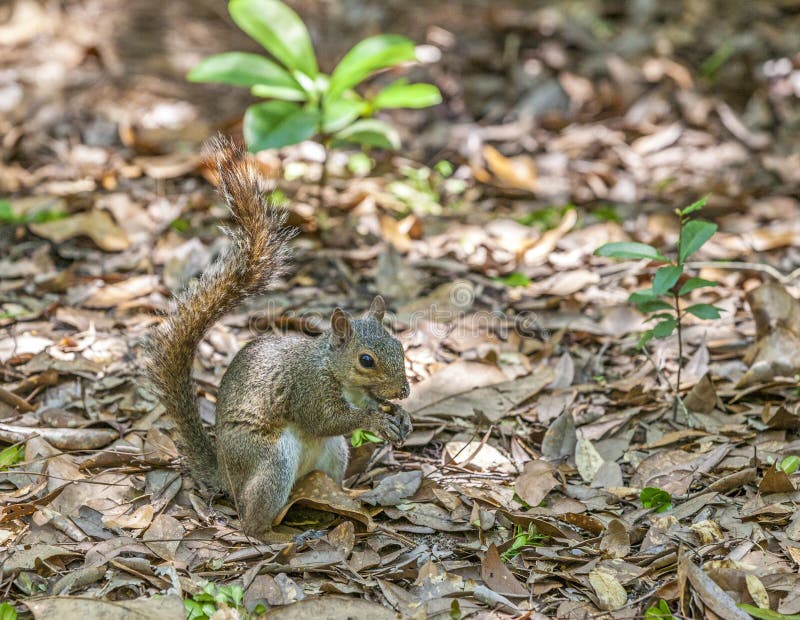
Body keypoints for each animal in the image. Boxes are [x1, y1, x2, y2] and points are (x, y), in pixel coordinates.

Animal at [146, 137, 412, 540]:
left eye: (399, 346)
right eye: (366, 360)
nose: (404, 391)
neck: (330, 368)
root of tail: (227, 477)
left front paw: (400, 415)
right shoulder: (308, 389)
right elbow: (326, 420)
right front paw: (375, 420)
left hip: (333, 455)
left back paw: (344, 498)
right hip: (270, 460)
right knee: (252, 520)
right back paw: (279, 533)